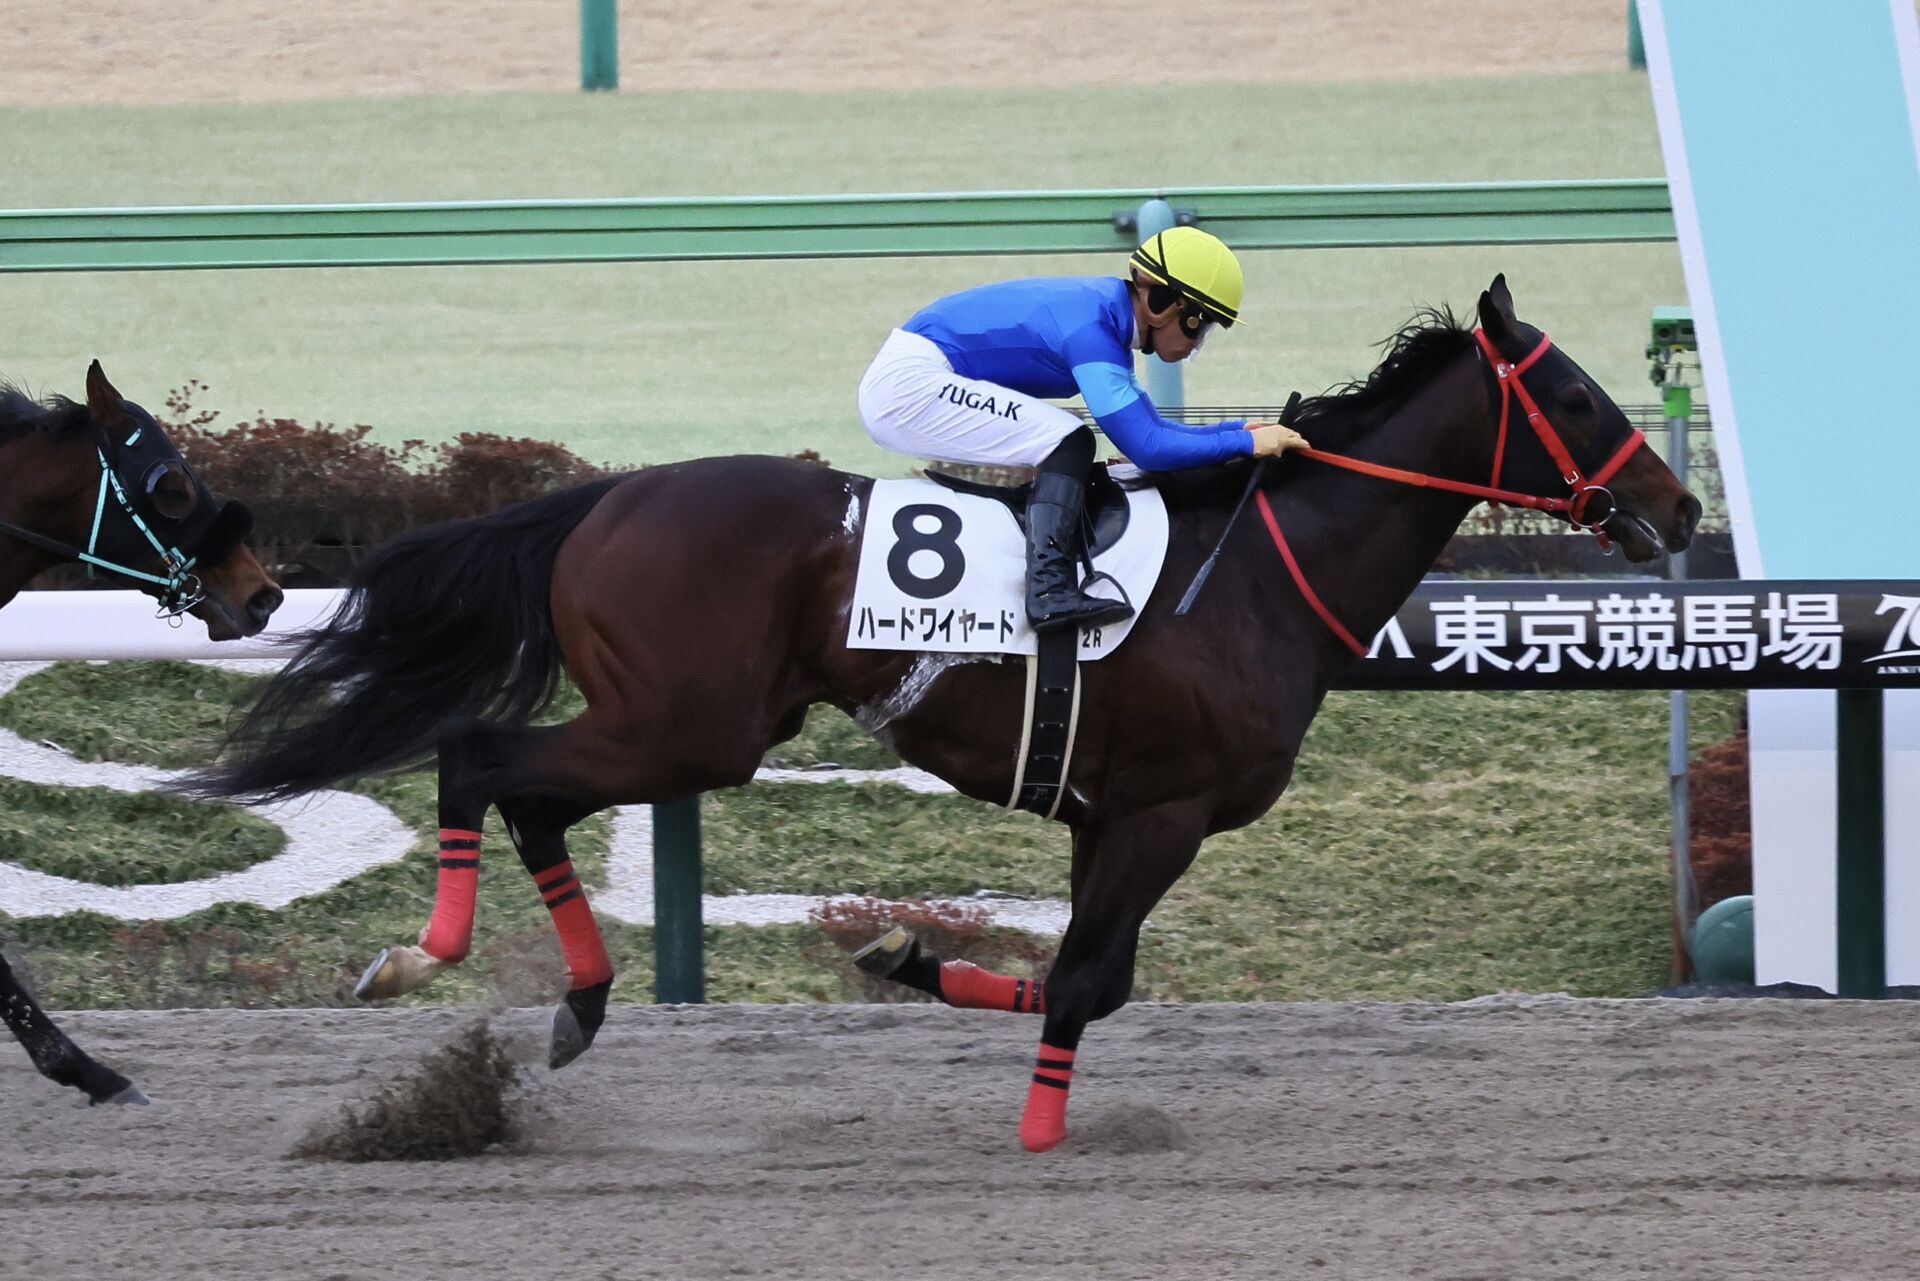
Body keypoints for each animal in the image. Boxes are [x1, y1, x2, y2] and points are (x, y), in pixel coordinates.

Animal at [192, 277, 1699, 1150]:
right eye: (1575, 395)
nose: (1682, 510)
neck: (1265, 572)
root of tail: (608, 499)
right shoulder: (1165, 812)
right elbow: (1088, 979)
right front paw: (1038, 1136)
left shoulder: (1114, 812)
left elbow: (1093, 972)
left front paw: (906, 954)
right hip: (691, 724)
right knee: (485, 761)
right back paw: (432, 957)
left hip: (689, 724)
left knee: (522, 790)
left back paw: (572, 1004)